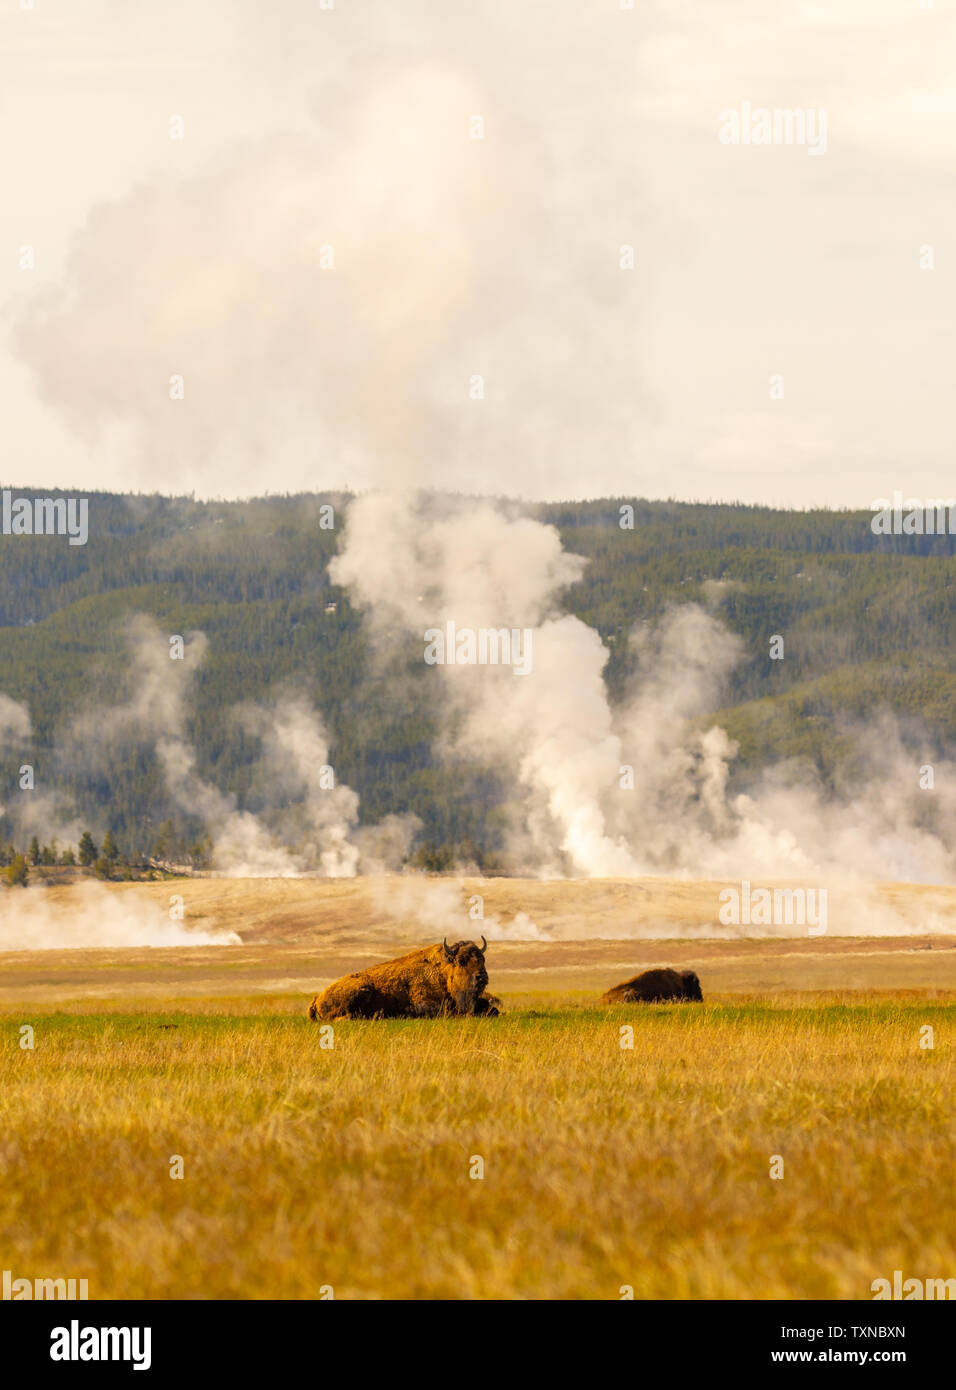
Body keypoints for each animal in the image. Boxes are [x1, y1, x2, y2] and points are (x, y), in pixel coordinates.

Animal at [308, 938, 500, 1020]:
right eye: (461, 960)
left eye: (482, 959)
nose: (482, 977)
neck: (444, 972)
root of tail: (317, 997)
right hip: (363, 989)